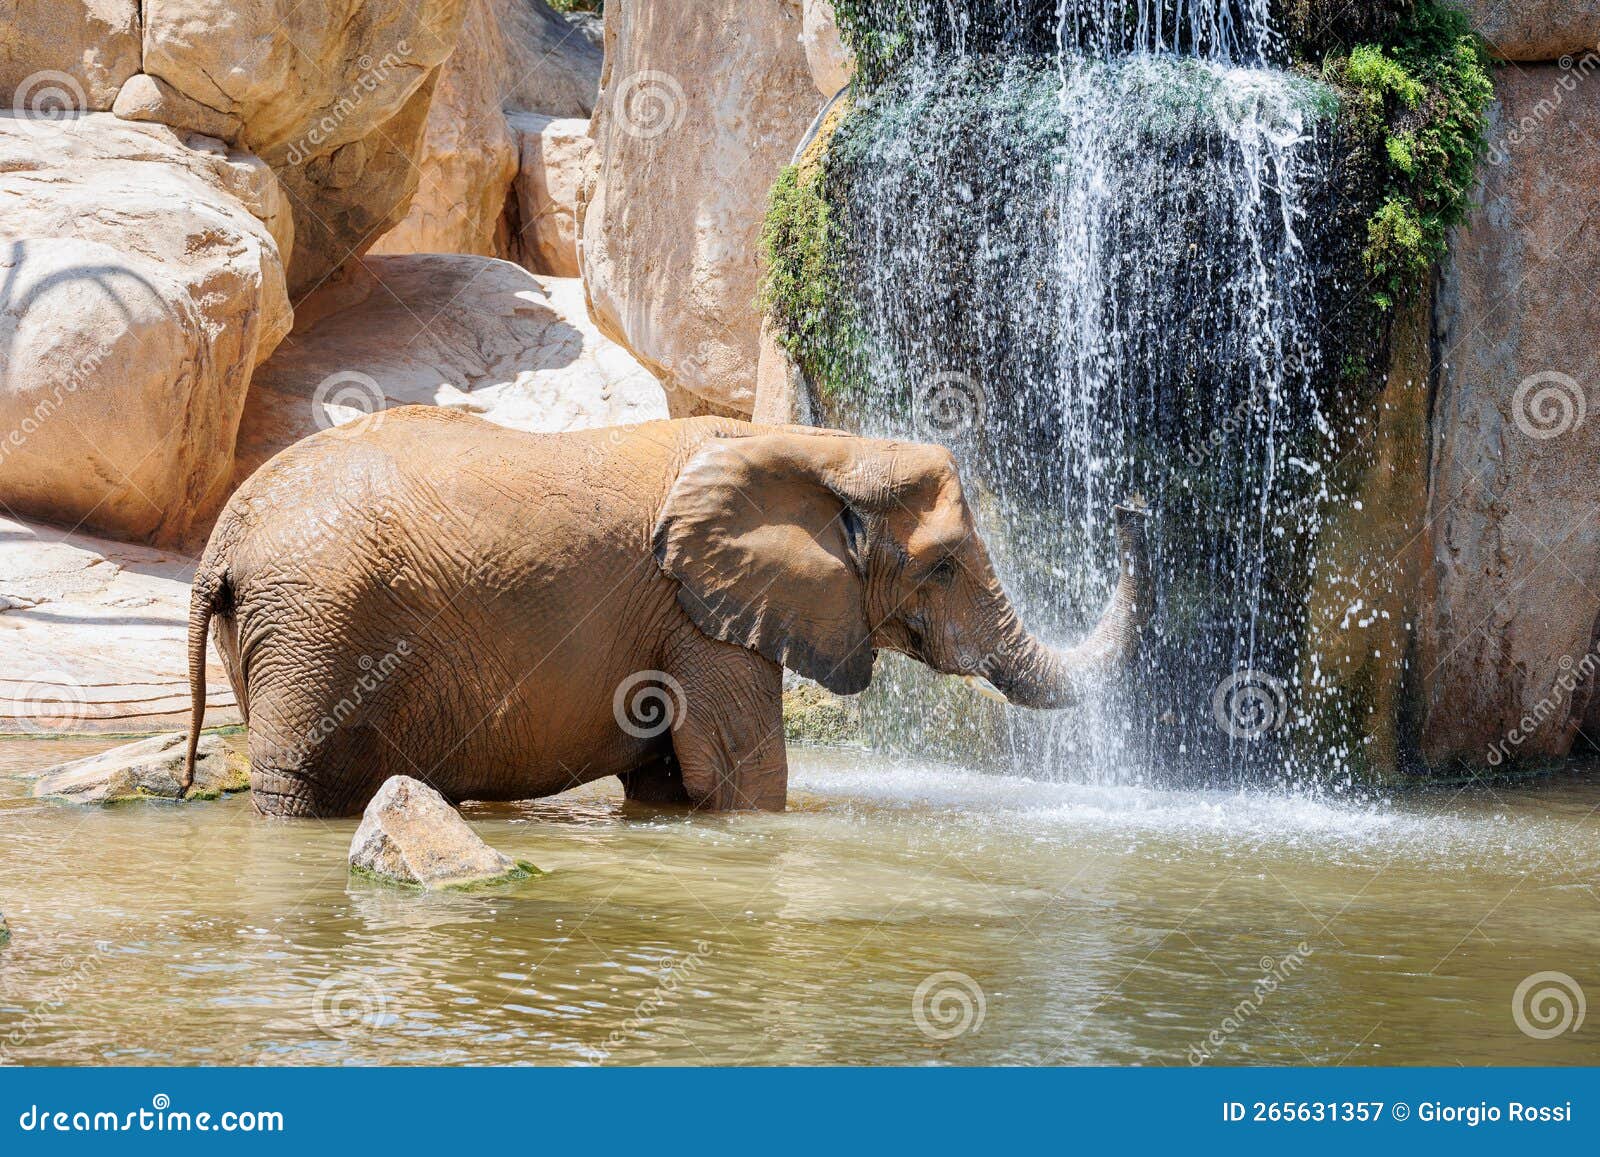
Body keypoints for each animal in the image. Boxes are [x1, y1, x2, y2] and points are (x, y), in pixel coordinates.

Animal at [183, 407, 1151, 817]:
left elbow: (670, 784)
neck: (821, 443)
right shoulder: (700, 616)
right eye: (944, 566)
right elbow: (748, 780)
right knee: (296, 785)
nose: (1131, 502)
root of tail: (221, 541)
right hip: (314, 629)